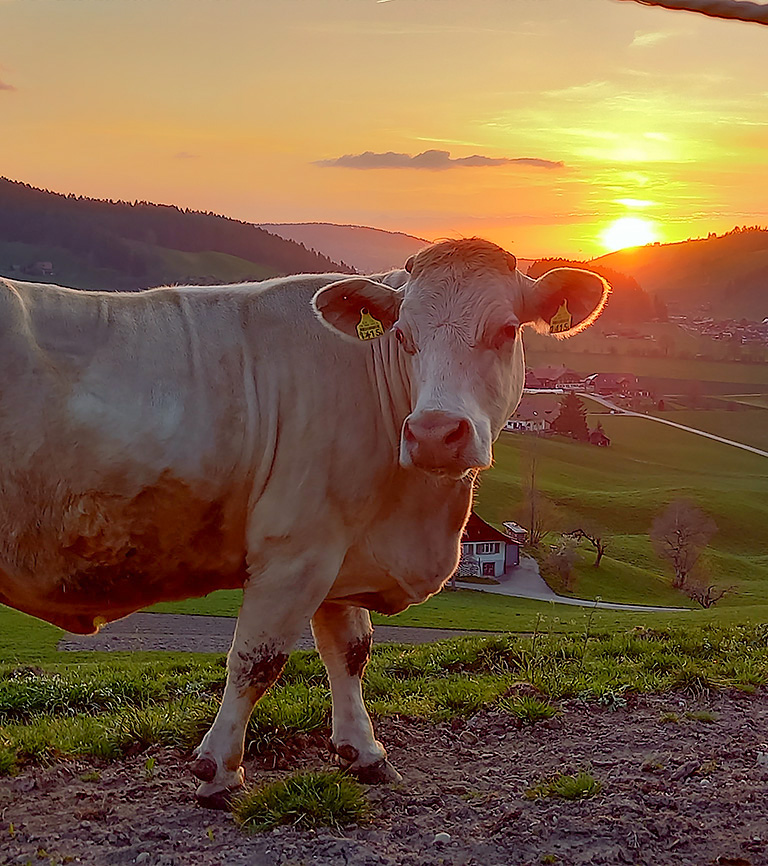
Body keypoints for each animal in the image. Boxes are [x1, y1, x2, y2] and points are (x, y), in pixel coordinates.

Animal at [0, 238, 608, 806]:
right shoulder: (295, 551)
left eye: (506, 330)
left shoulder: (340, 548)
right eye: (403, 335)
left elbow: (351, 650)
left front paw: (364, 752)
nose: (434, 433)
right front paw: (218, 771)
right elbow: (257, 659)